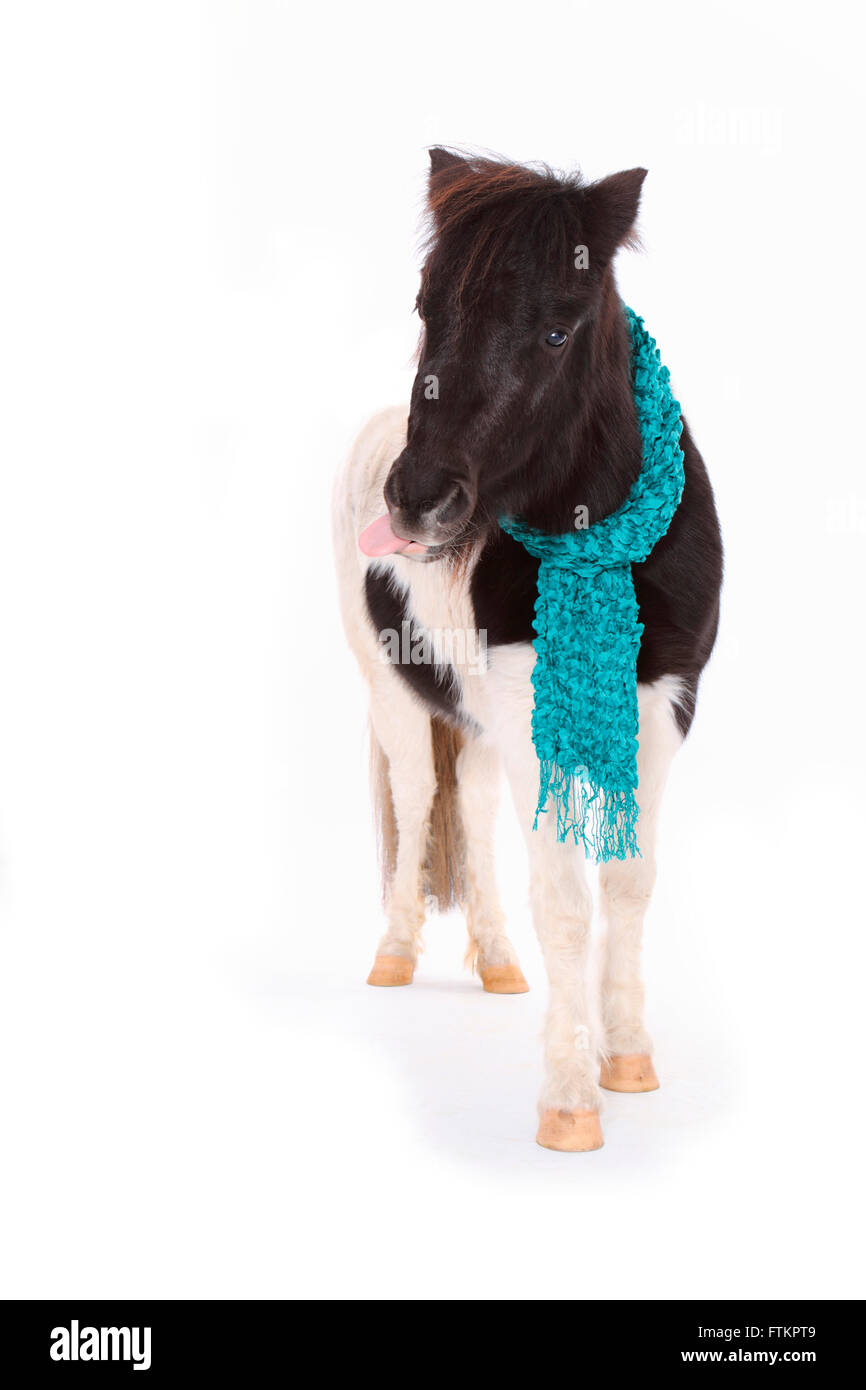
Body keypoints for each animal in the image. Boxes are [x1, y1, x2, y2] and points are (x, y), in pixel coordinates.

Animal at [332, 149, 722, 1151]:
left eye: (557, 330)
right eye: (425, 305)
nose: (417, 503)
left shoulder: (665, 705)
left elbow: (627, 884)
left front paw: (626, 1056)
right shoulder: (522, 707)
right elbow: (566, 902)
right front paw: (570, 1098)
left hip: (476, 726)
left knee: (467, 815)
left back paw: (500, 964)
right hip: (398, 697)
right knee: (418, 803)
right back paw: (395, 956)